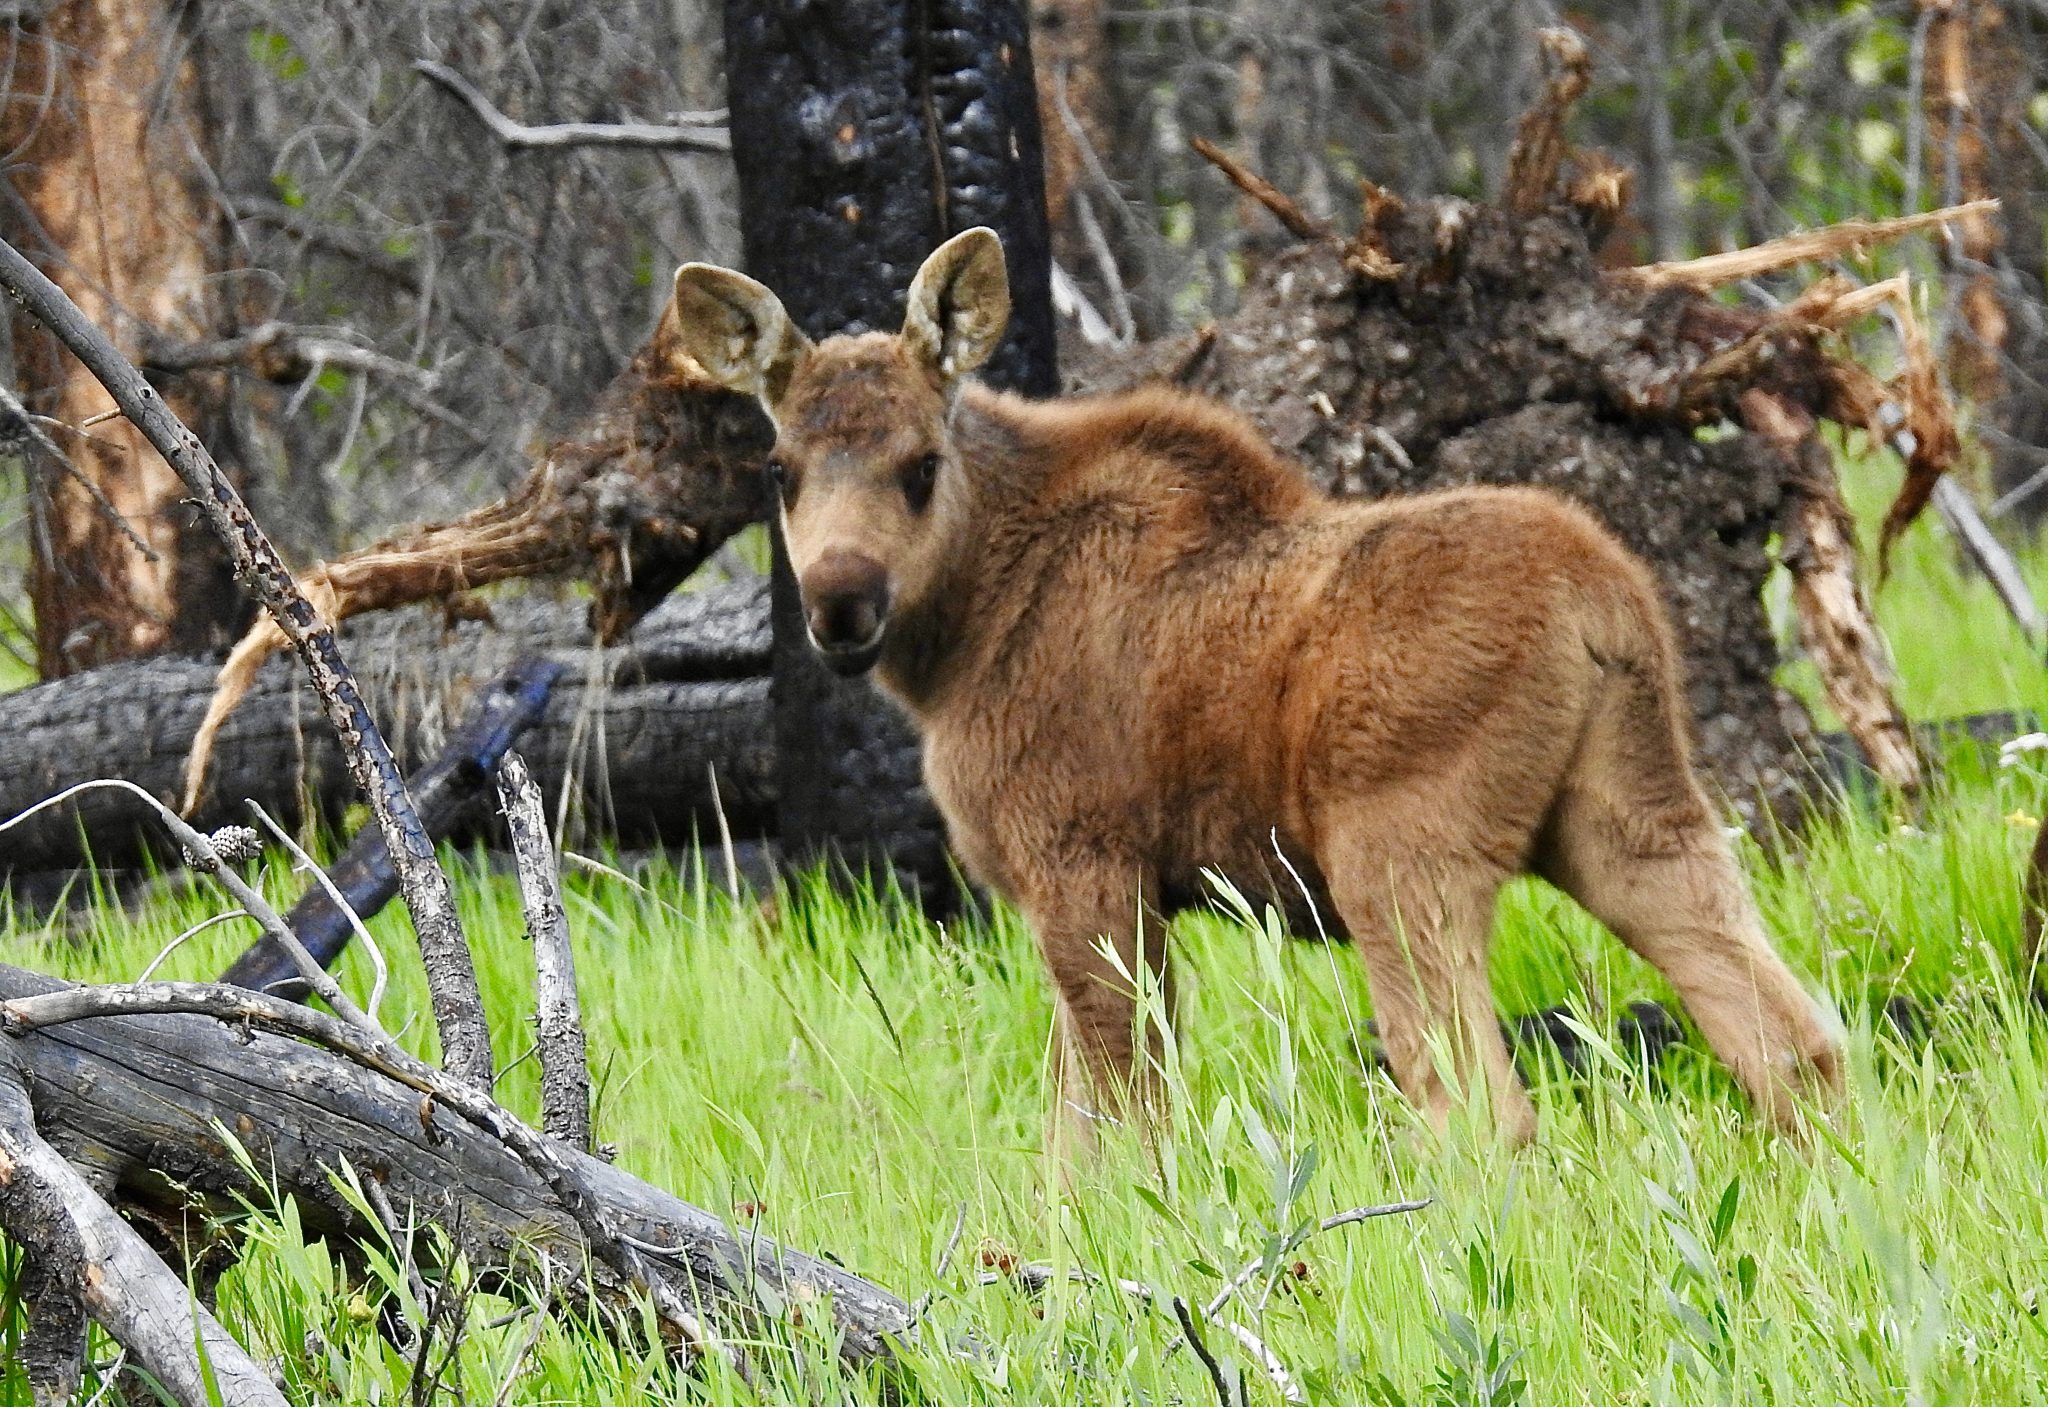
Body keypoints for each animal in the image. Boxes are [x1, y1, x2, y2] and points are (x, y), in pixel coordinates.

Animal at [669, 227, 1844, 1151]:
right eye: (778, 470)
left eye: (919, 464)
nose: (842, 603)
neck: (959, 642)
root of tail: (1601, 607)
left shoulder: (1082, 861)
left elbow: (1118, 1129)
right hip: (1634, 816)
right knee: (1796, 1044)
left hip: (1400, 852)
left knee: (1482, 1105)